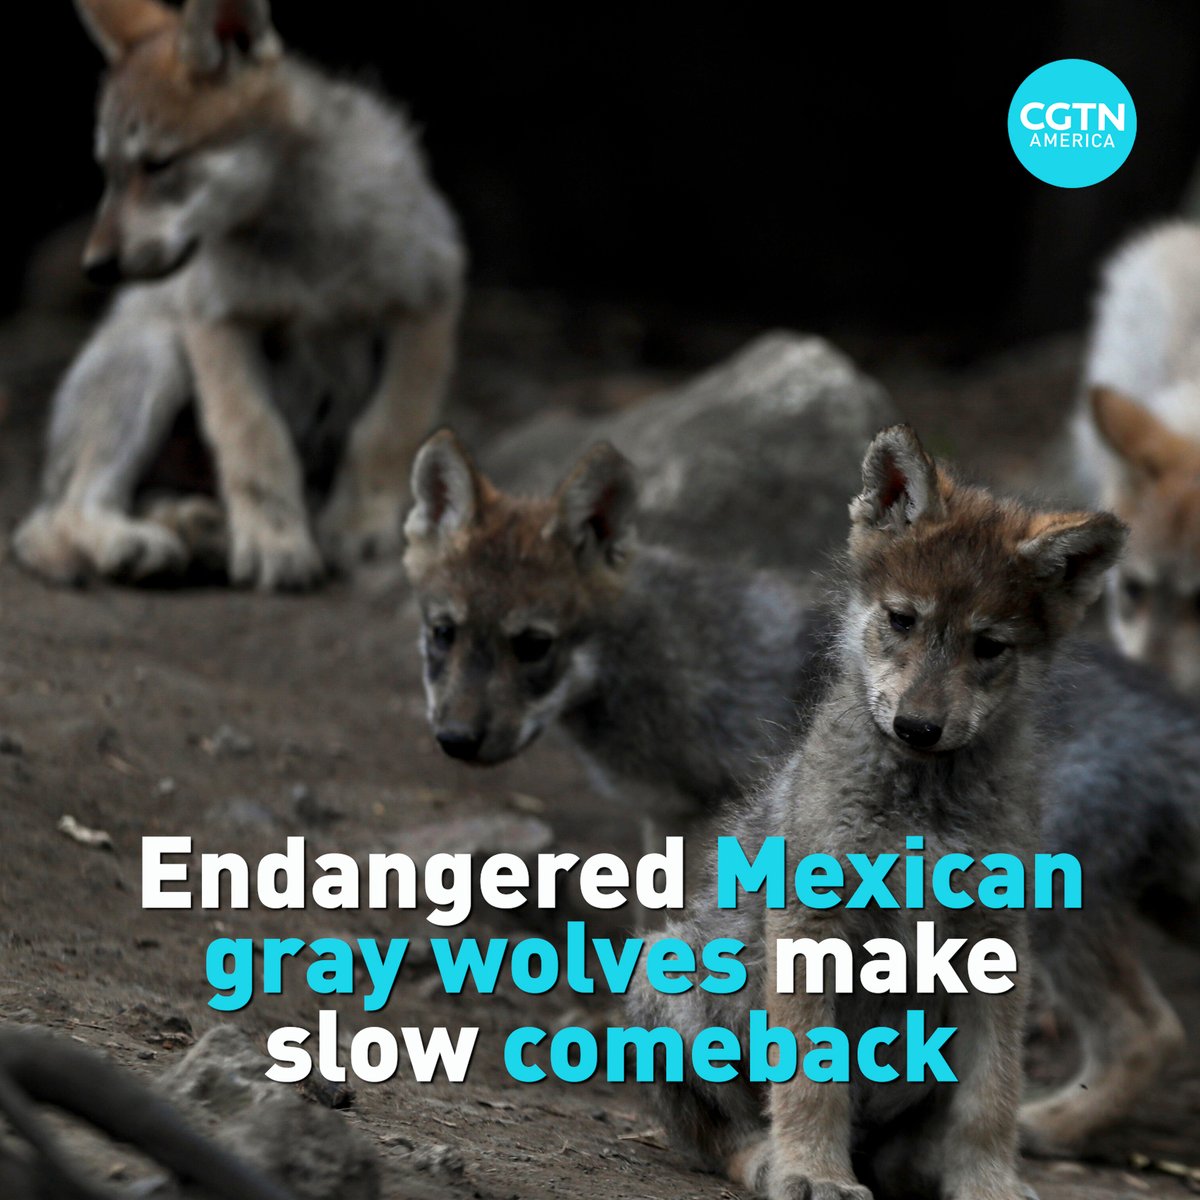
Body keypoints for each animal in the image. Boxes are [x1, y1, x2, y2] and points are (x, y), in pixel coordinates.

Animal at [14, 0, 464, 590]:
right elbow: (254, 437)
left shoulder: (426, 301)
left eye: (158, 164)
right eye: (109, 172)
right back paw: (140, 545)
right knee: (55, 520)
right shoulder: (219, 321)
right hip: (155, 353)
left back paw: (198, 531)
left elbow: (384, 432)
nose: (96, 267)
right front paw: (275, 545)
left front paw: (359, 528)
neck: (297, 238)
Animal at [628, 425, 1130, 1200]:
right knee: (715, 1138)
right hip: (663, 965)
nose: (919, 727)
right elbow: (811, 1079)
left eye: (989, 646)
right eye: (902, 621)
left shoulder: (996, 941)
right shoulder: (812, 925)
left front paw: (987, 1182)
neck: (923, 804)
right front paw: (813, 1173)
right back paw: (773, 1161)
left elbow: (993, 1096)